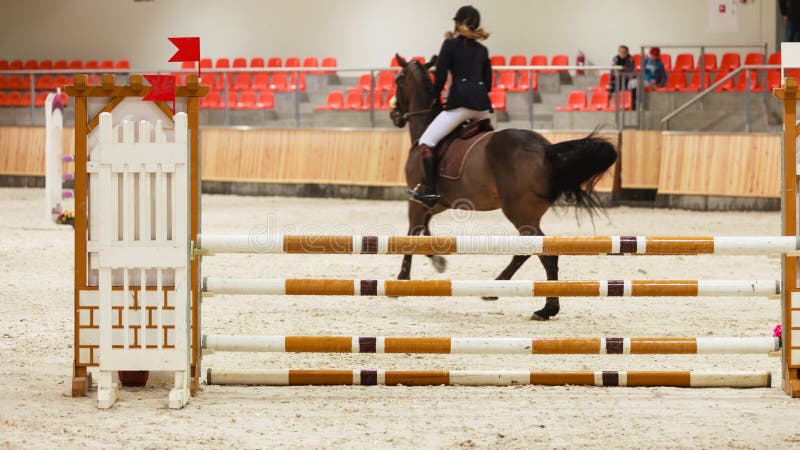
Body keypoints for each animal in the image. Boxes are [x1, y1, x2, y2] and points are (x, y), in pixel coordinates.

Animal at [389, 54, 618, 321]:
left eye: (398, 80)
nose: (394, 114)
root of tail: (545, 149)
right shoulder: (434, 204)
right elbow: (425, 232)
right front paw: (438, 261)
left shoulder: (415, 201)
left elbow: (412, 234)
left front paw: (402, 280)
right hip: (526, 212)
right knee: (536, 250)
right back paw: (531, 302)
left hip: (519, 211)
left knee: (541, 251)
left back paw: (520, 298)